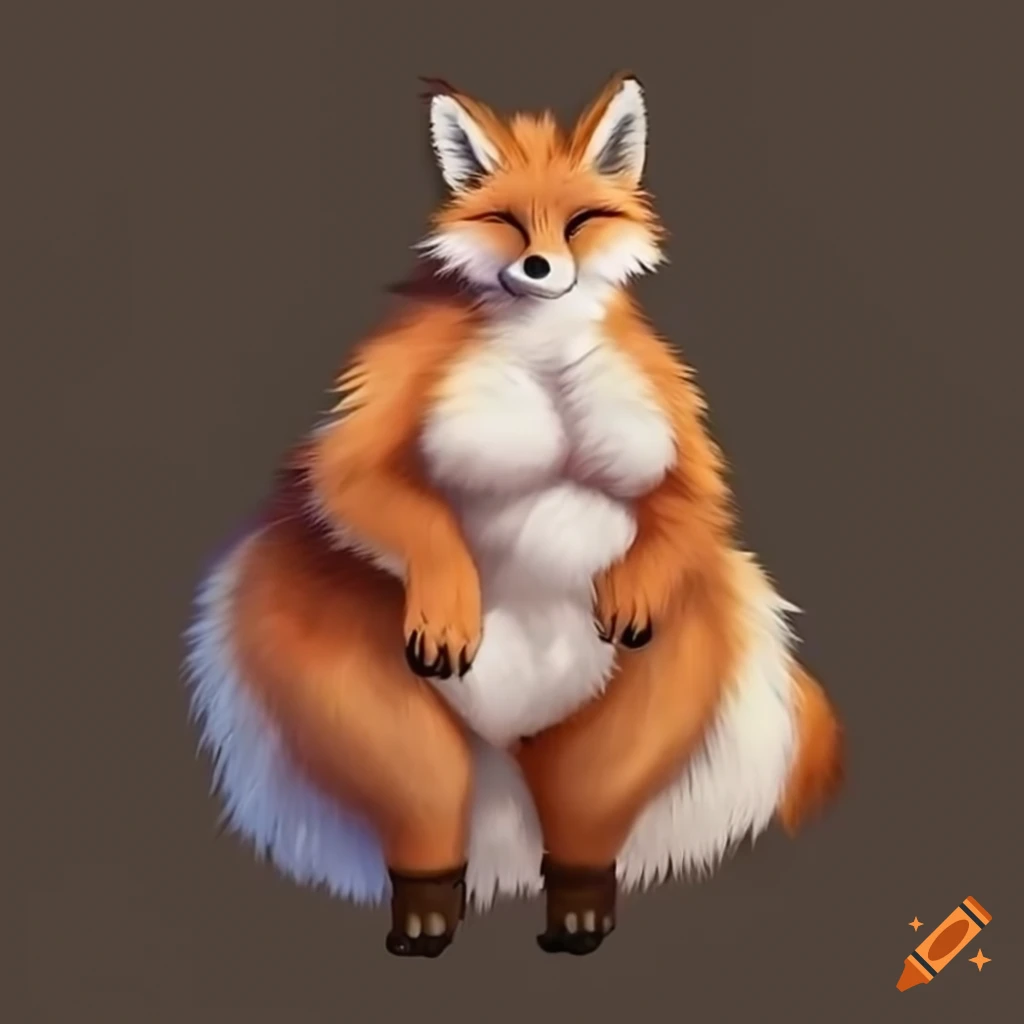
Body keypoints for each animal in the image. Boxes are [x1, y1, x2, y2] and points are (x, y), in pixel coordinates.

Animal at [184, 71, 844, 959]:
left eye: (582, 220)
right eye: (504, 220)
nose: (538, 264)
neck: (545, 354)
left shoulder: (667, 415)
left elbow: (689, 500)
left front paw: (638, 572)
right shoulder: (387, 401)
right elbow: (358, 485)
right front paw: (448, 600)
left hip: (647, 680)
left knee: (587, 812)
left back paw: (576, 911)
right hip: (384, 709)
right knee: (427, 804)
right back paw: (427, 916)